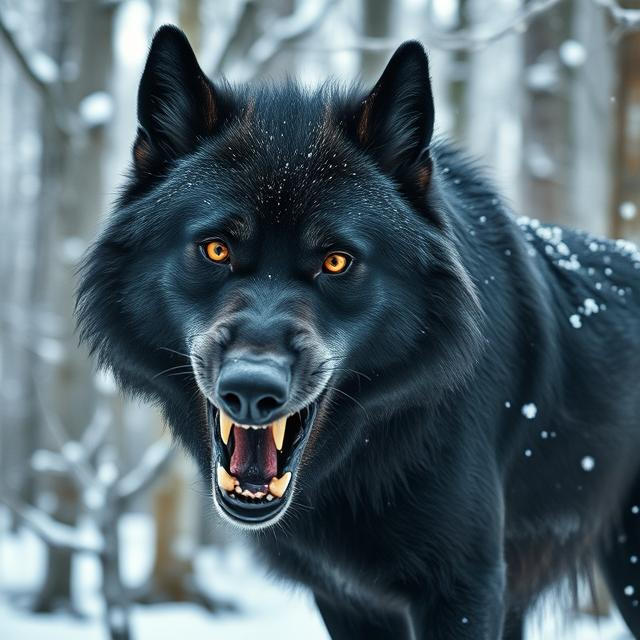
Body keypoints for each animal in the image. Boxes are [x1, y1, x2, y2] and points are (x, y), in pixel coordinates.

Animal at [77, 25, 640, 639]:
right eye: (216, 250)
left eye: (336, 262)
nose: (251, 390)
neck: (359, 462)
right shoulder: (348, 599)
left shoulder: (465, 588)